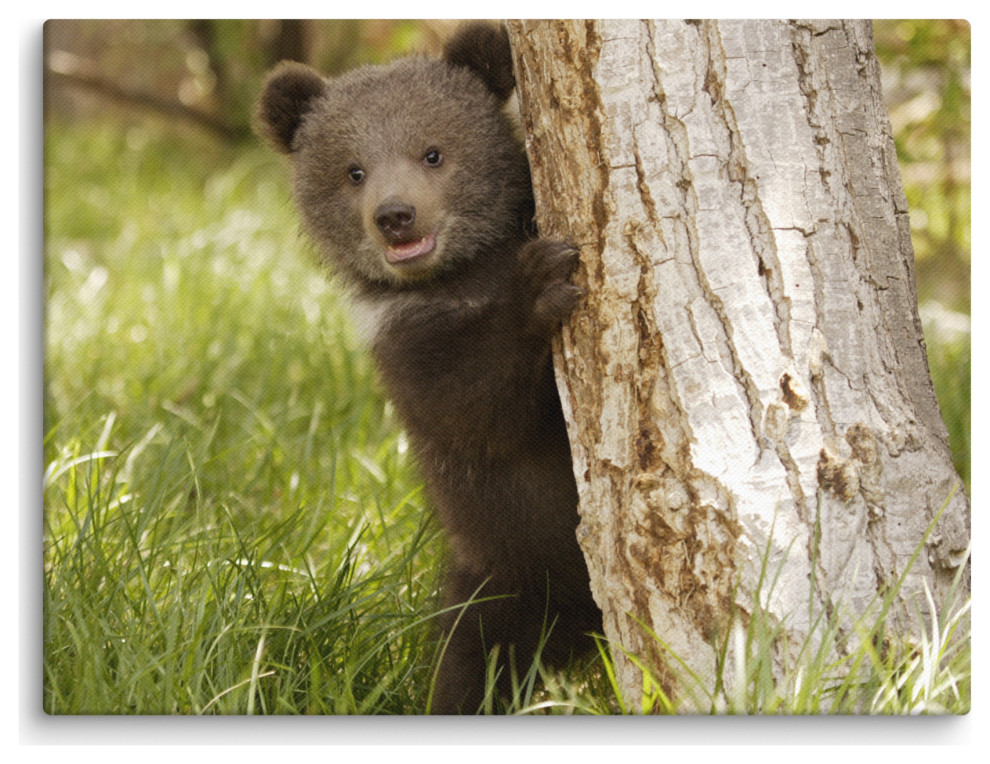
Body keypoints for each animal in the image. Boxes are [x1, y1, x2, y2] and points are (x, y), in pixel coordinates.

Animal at [255, 22, 601, 714]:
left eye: (433, 153)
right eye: (353, 170)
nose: (395, 216)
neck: (463, 275)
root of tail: (582, 625)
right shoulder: (406, 344)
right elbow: (475, 408)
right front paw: (541, 283)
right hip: (503, 578)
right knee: (471, 667)